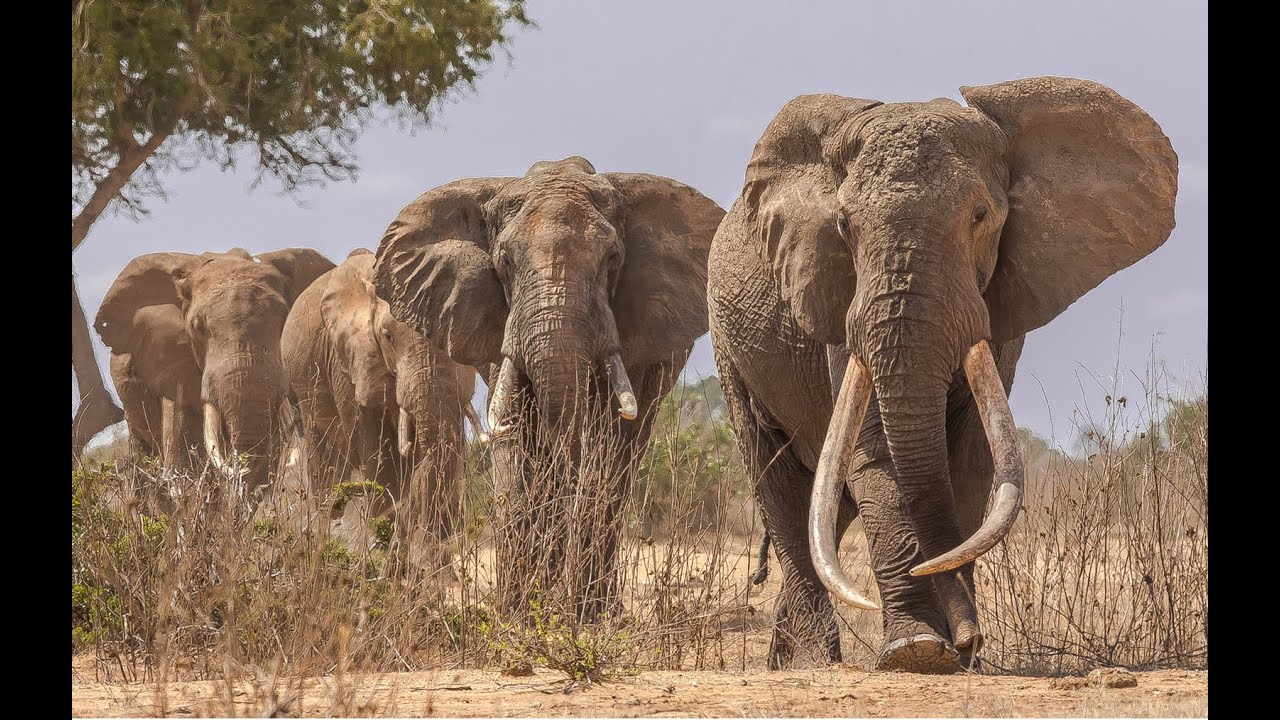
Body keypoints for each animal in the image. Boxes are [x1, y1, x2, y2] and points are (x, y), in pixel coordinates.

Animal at [281, 248, 483, 539]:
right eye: (388, 336)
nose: (444, 533)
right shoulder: (348, 361)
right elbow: (380, 456)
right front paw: (384, 533)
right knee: (325, 458)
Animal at [372, 156, 725, 618]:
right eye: (504, 262)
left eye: (612, 259)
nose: (554, 599)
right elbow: (514, 430)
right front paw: (516, 613)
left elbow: (607, 440)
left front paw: (583, 614)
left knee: (627, 449)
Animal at [707, 77, 1178, 673]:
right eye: (843, 225)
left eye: (980, 215)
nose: (969, 638)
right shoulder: (838, 304)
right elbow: (876, 456)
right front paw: (918, 652)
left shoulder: (998, 306)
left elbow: (975, 460)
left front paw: (961, 653)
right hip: (730, 349)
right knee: (783, 489)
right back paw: (813, 662)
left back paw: (790, 661)